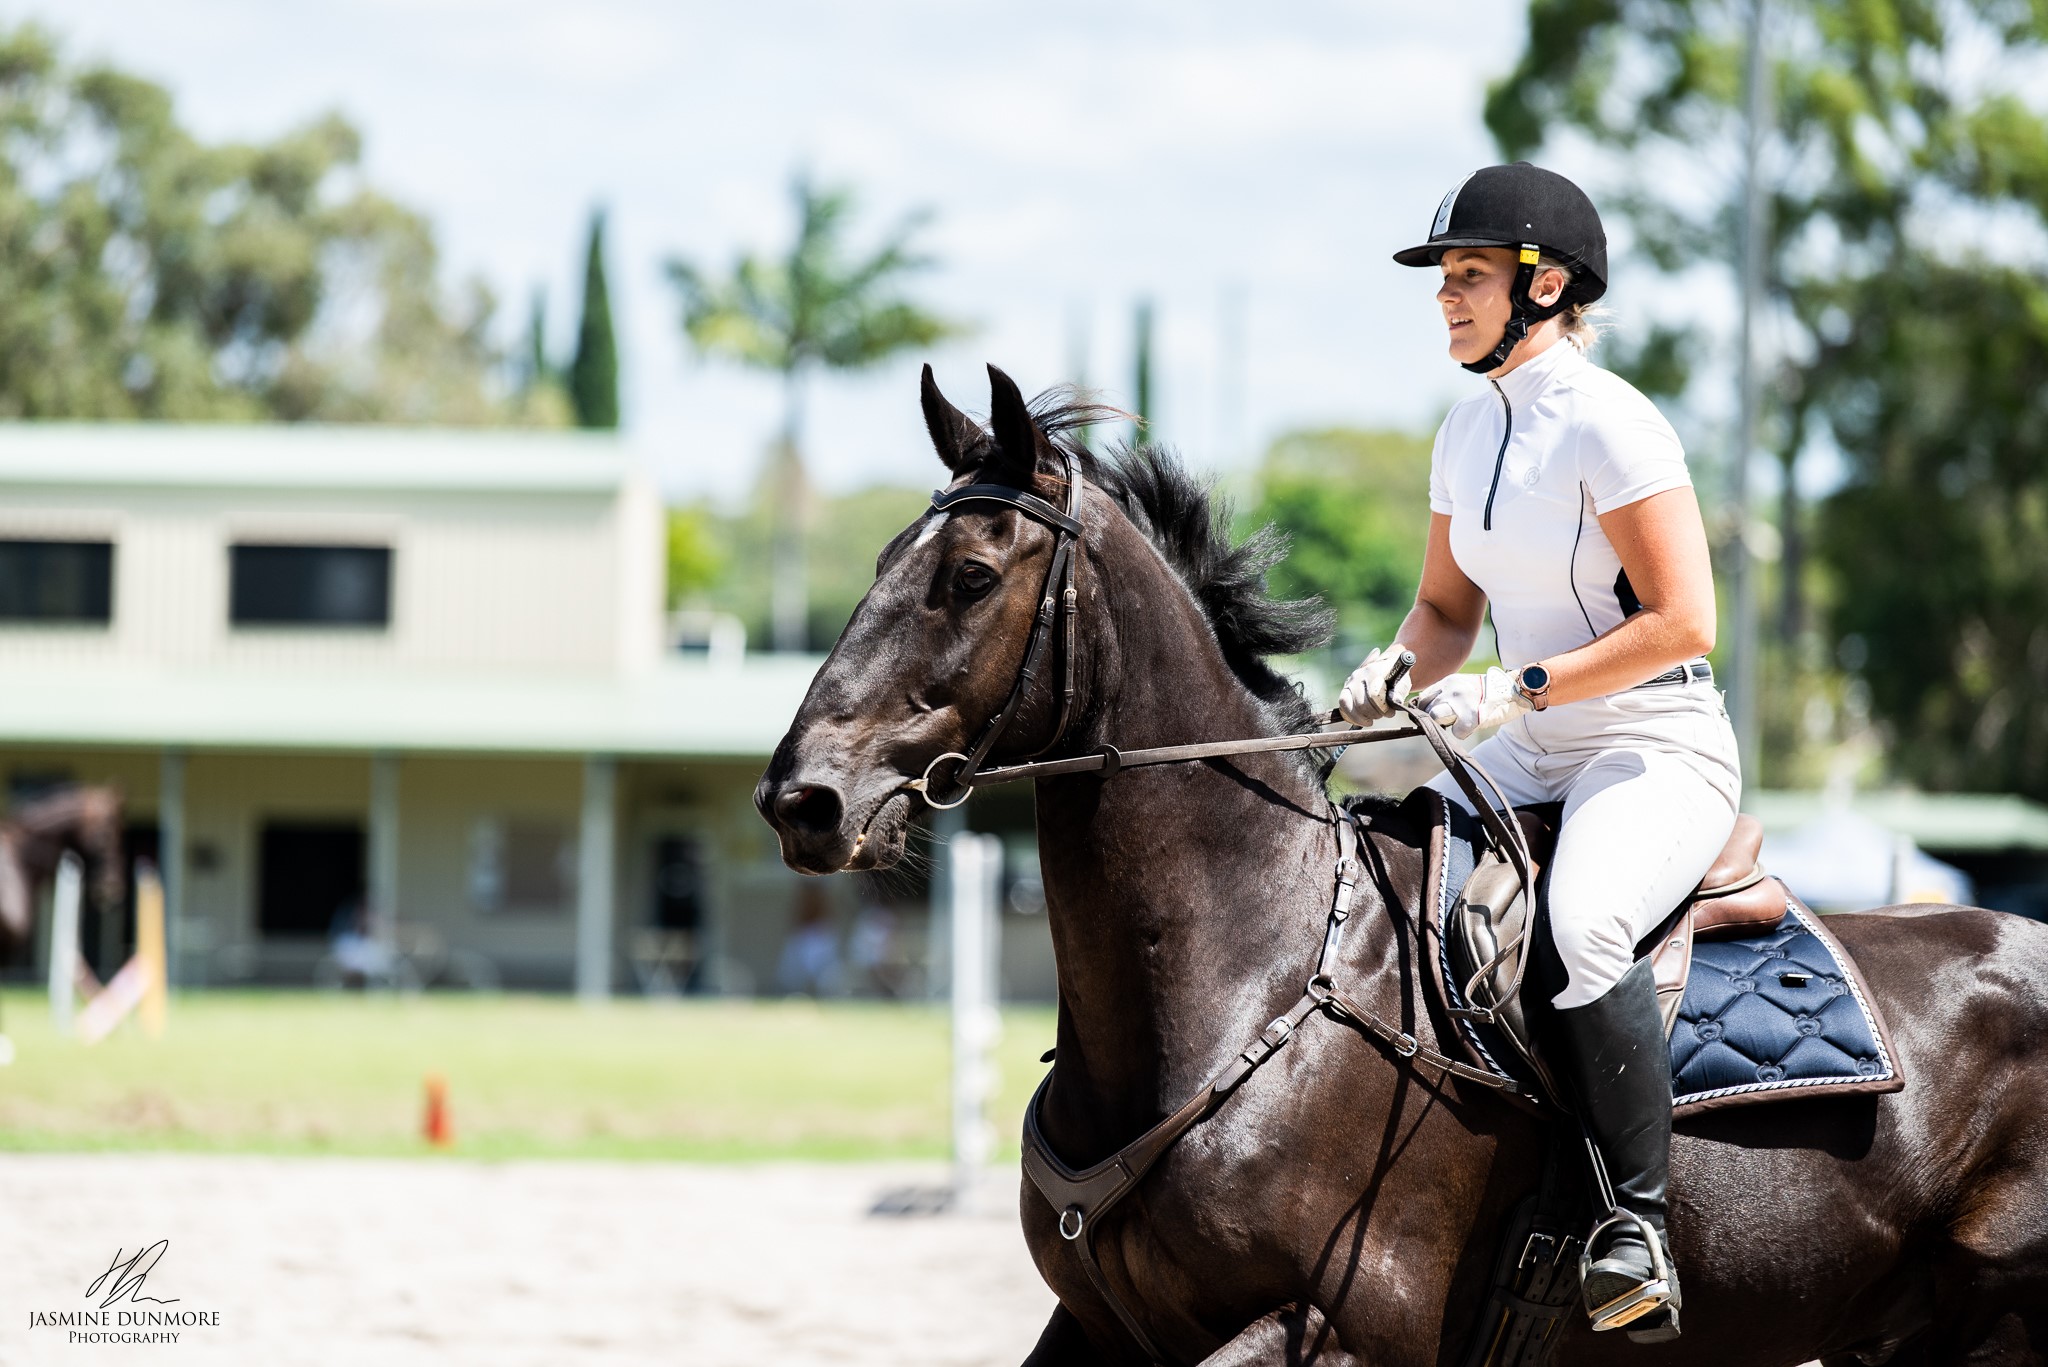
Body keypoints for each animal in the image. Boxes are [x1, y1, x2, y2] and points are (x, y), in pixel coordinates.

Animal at [757, 364, 2048, 1366]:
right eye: (879, 562)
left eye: (969, 577)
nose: (800, 800)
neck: (1250, 979)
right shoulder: (1103, 1328)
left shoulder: (1329, 1325)